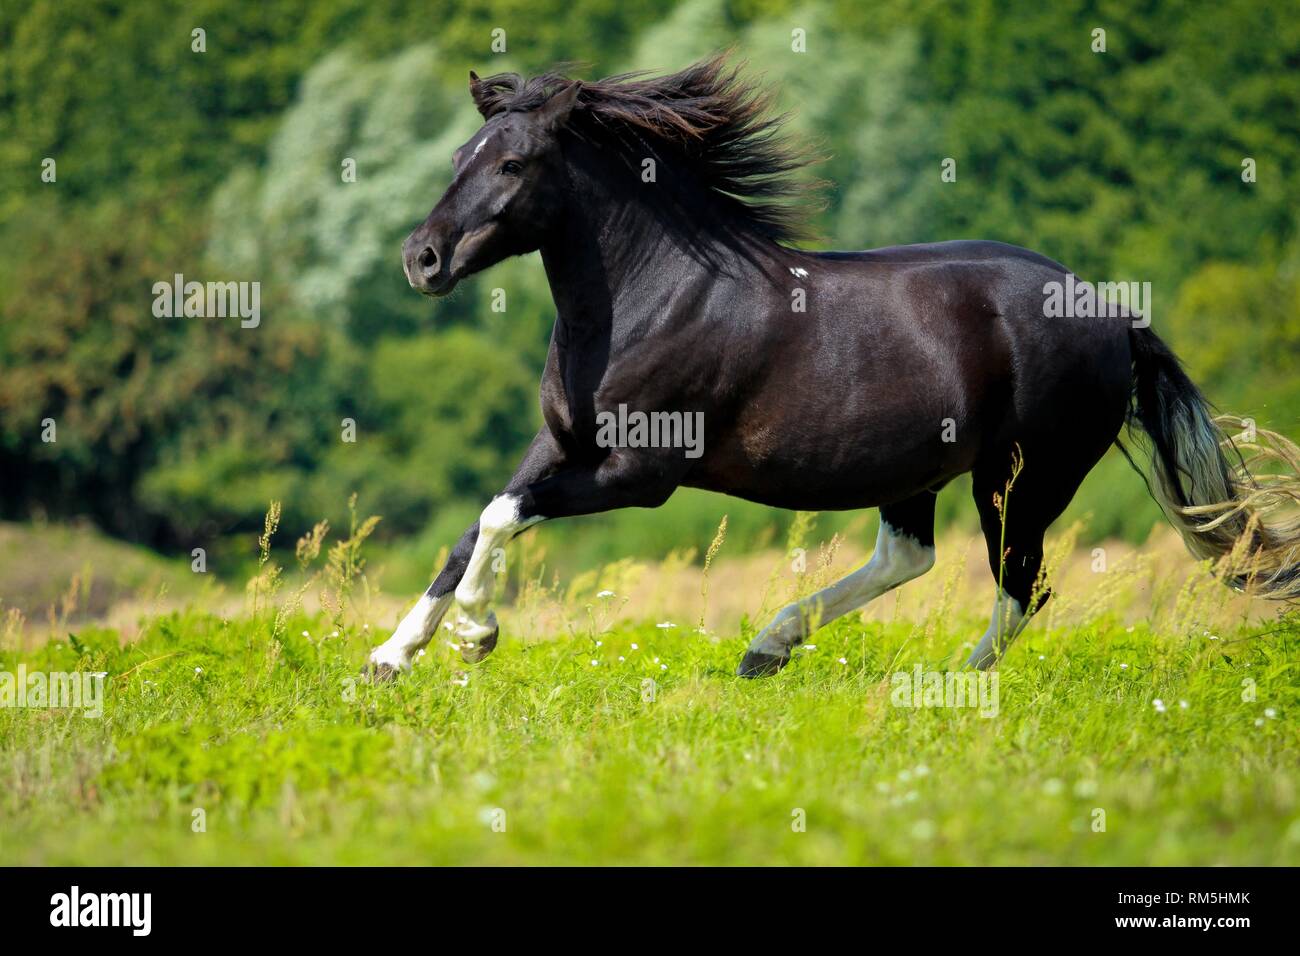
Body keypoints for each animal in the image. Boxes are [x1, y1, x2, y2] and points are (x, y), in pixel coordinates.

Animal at [366, 54, 1300, 680]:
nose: (421, 259)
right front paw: (392, 655)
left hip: (1023, 477)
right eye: (458, 157)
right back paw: (767, 648)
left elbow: (500, 517)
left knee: (1020, 587)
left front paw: (476, 637)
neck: (652, 297)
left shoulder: (643, 471)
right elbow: (477, 523)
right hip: (921, 467)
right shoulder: (560, 444)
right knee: (910, 558)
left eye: (512, 163)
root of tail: (1114, 313)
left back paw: (947, 685)